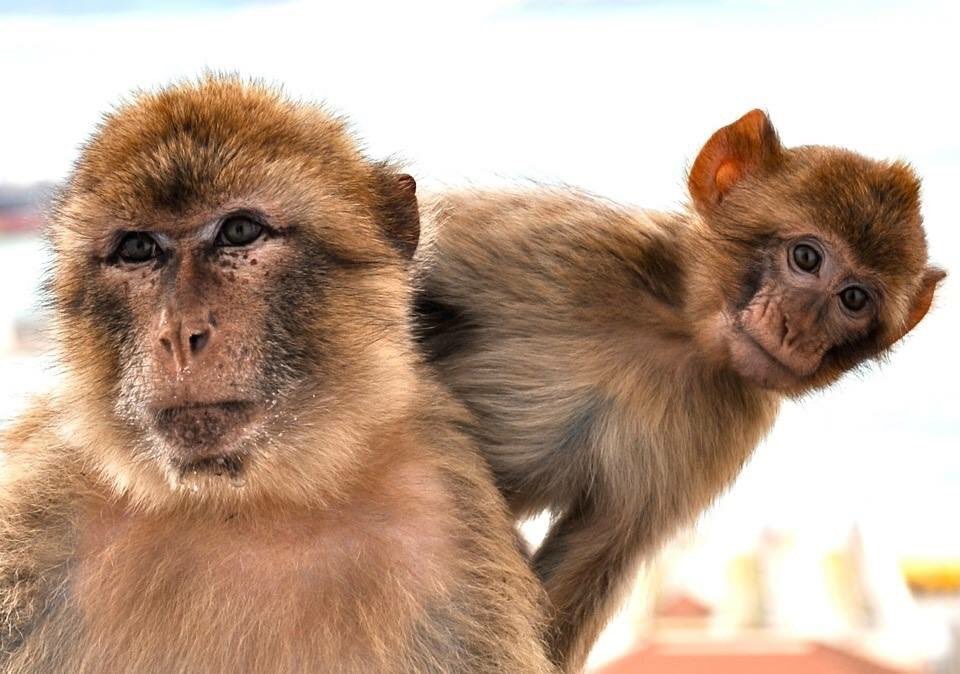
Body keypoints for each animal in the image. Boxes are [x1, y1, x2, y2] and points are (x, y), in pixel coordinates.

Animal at [0, 77, 556, 674]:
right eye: (138, 248)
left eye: (239, 231)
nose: (178, 333)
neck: (246, 503)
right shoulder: (37, 505)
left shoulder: (455, 541)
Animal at [414, 109, 945, 672]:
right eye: (806, 257)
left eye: (854, 299)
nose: (796, 330)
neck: (682, 340)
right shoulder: (563, 244)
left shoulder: (730, 424)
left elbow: (602, 546)